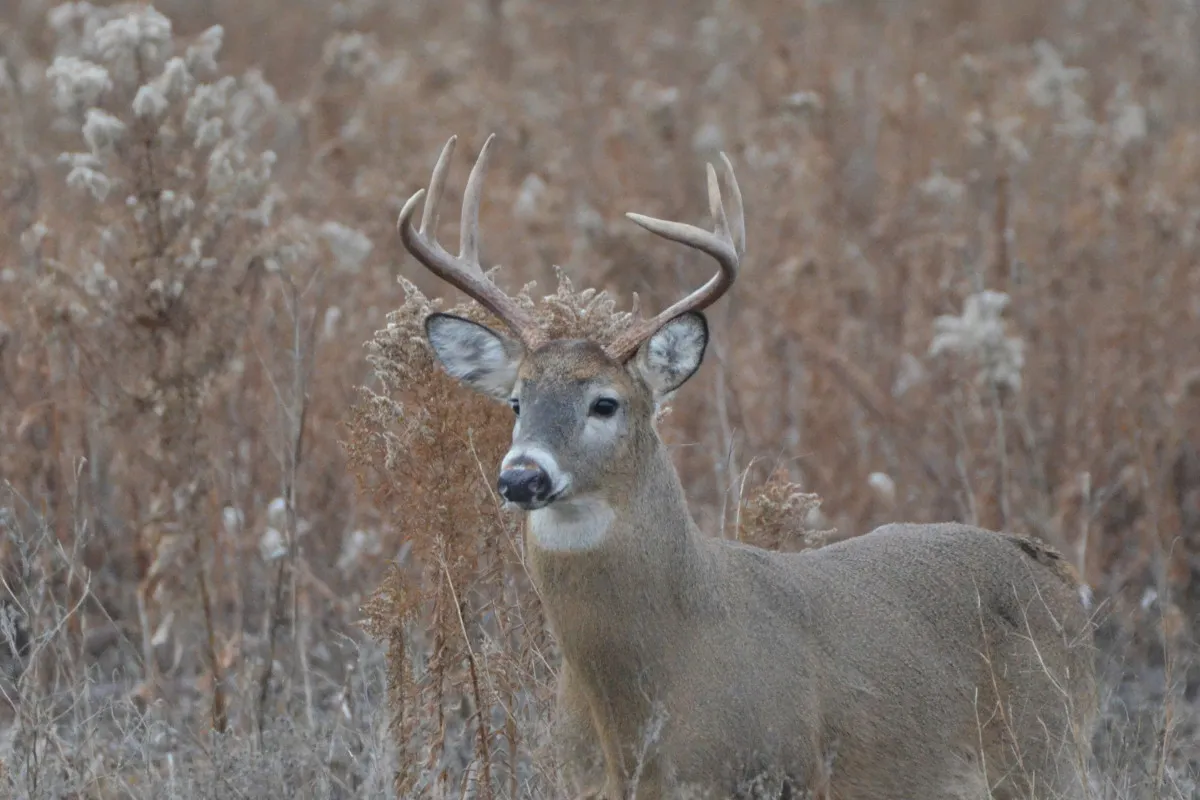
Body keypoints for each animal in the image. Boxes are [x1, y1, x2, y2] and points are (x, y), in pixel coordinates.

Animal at [393, 133, 1098, 800]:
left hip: (1048, 752)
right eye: (517, 400)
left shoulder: (780, 769)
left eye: (605, 403)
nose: (522, 476)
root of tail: (1053, 570)